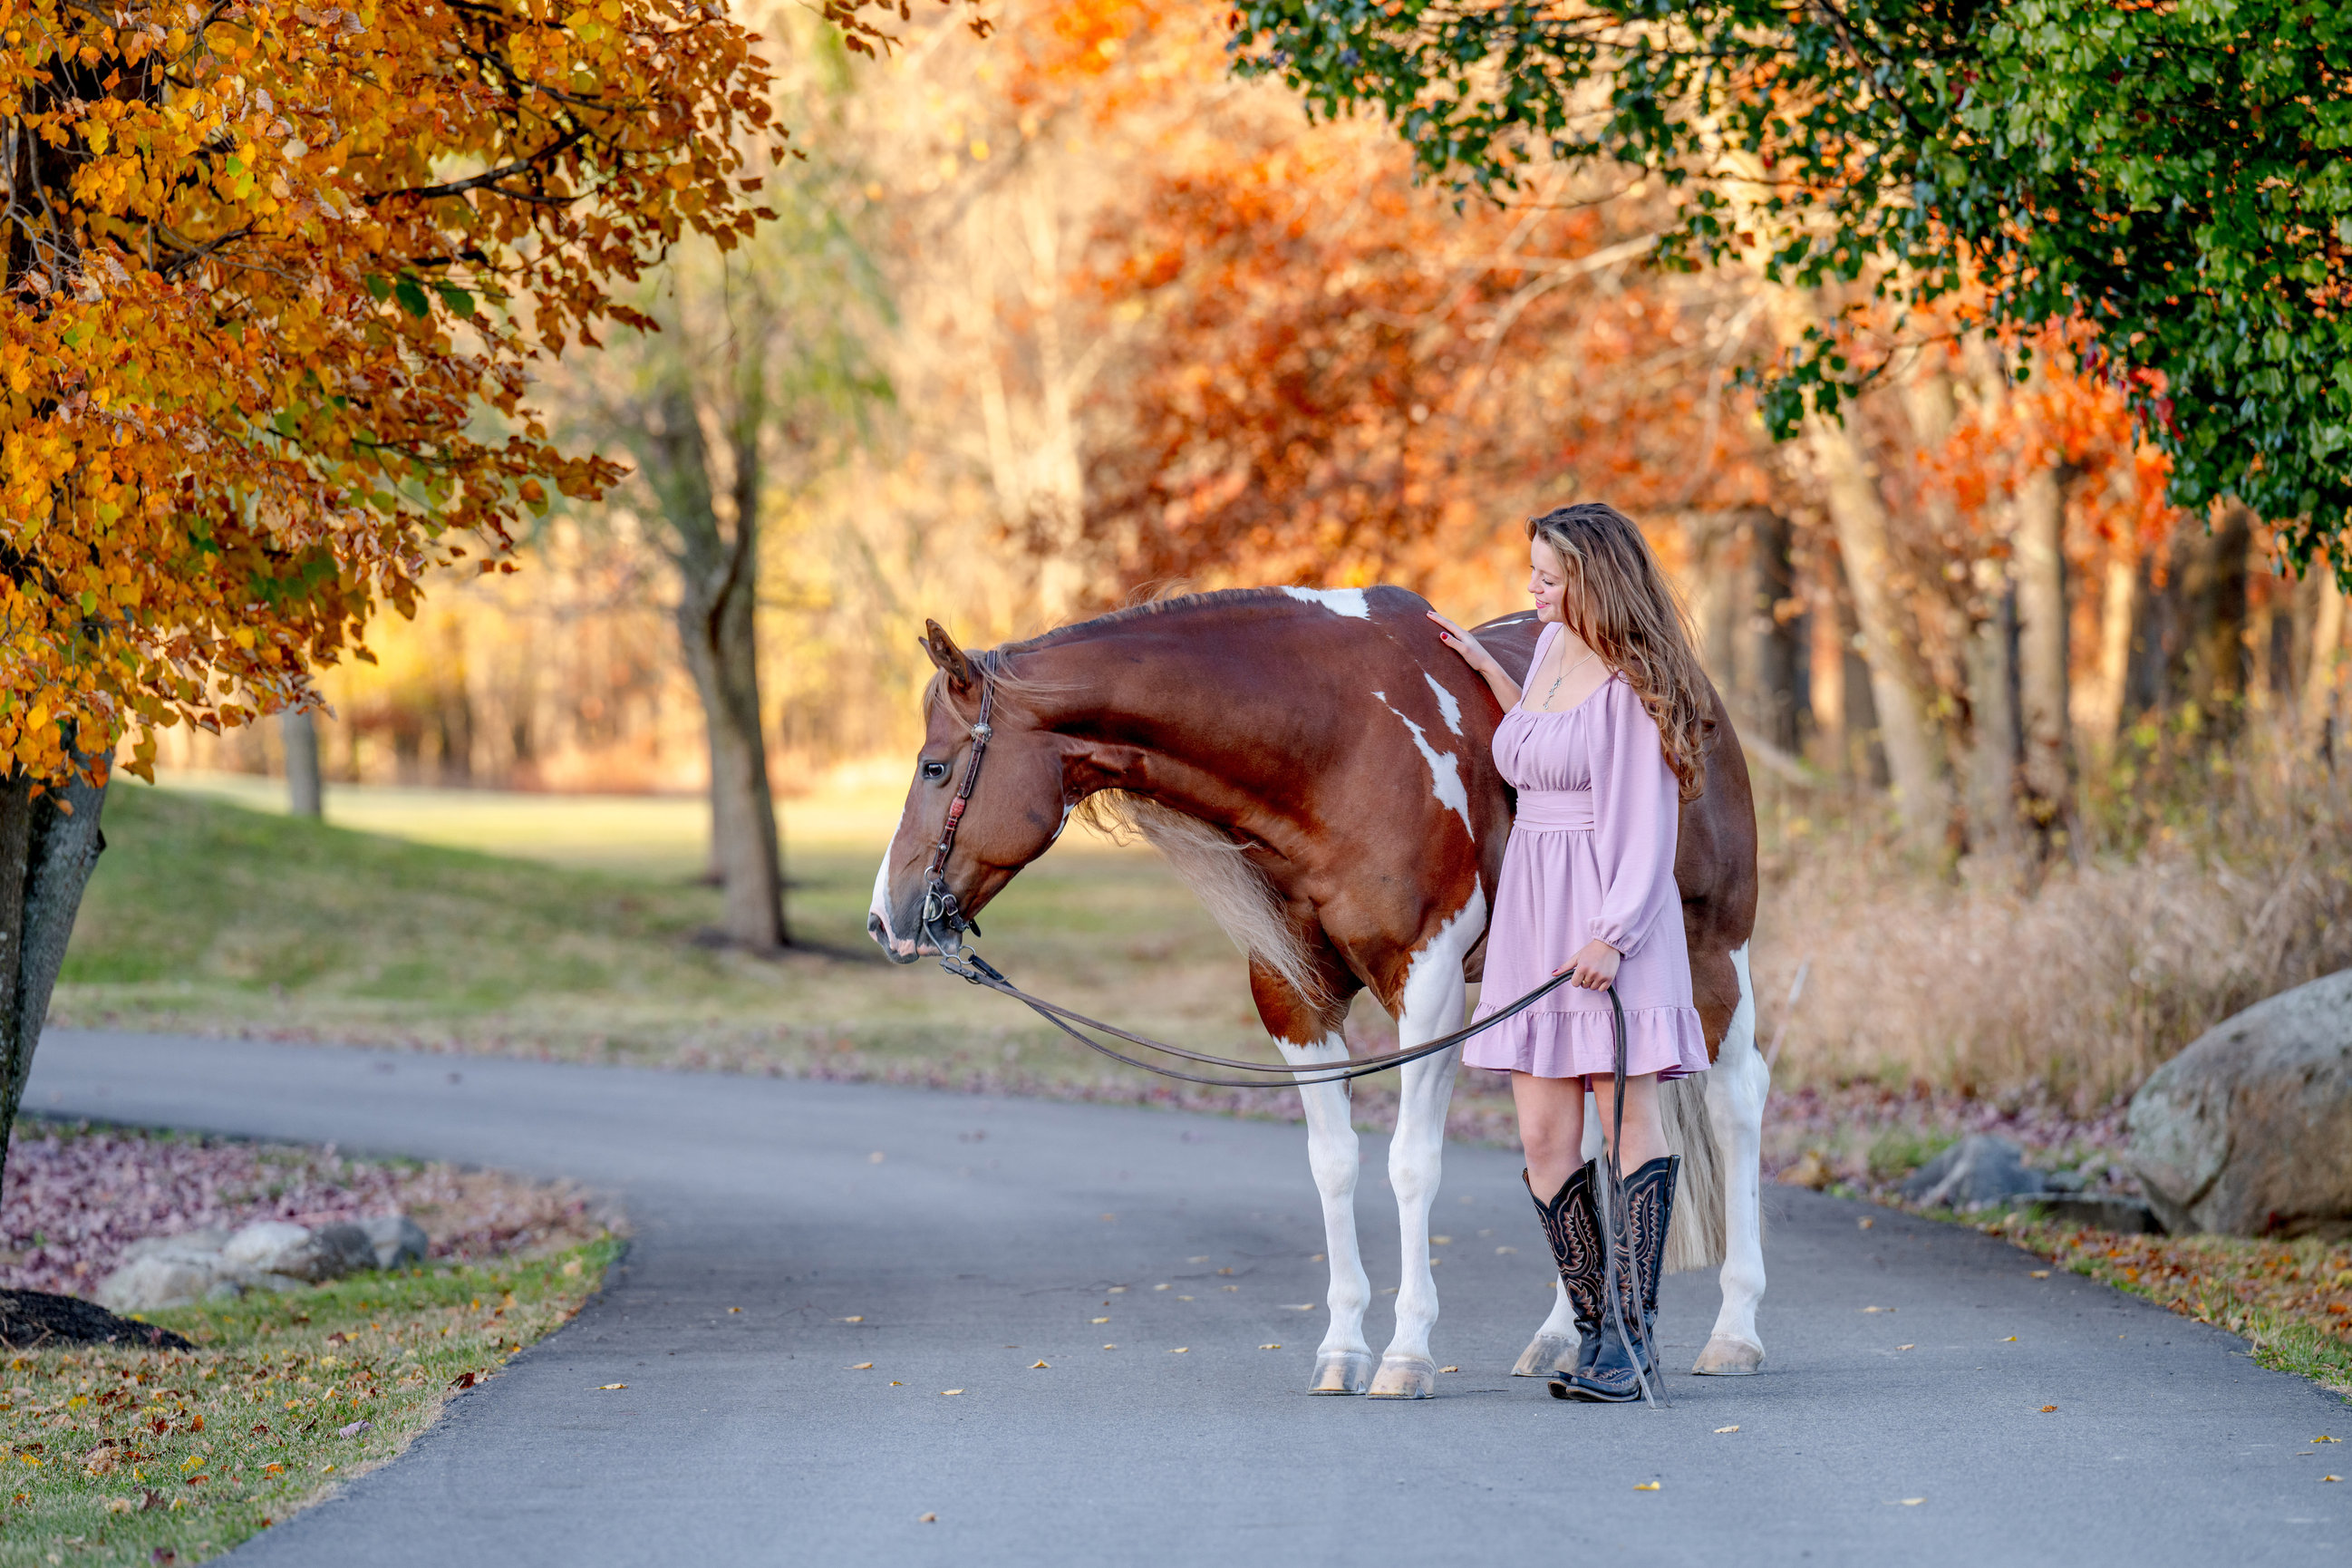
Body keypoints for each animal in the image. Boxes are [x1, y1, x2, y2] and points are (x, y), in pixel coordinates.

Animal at [867, 585, 1769, 1397]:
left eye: (935, 766)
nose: (886, 921)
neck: (1335, 745)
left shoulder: (1427, 987)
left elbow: (1410, 1164)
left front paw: (1406, 1355)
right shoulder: (1292, 998)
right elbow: (1333, 1165)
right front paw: (1341, 1350)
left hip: (1710, 955)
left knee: (1734, 1104)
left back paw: (1732, 1333)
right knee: (1579, 1127)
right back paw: (1560, 1339)